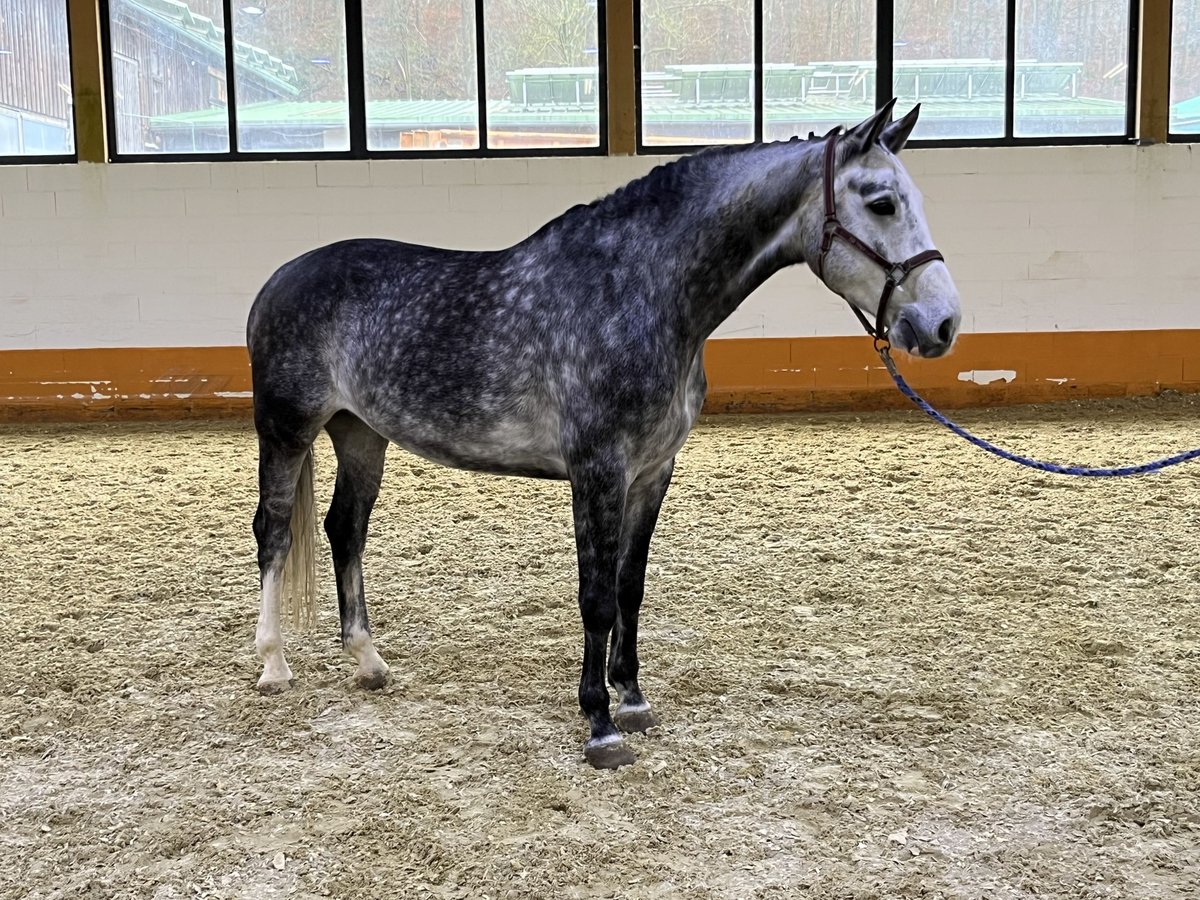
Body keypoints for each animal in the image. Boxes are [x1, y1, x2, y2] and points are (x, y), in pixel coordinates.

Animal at [246, 100, 961, 769]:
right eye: (881, 201)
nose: (942, 324)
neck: (641, 292)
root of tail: (276, 280)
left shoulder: (651, 472)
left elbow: (629, 587)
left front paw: (634, 699)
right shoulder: (597, 470)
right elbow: (595, 595)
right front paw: (600, 723)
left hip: (361, 435)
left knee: (345, 530)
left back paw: (368, 661)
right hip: (287, 430)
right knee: (275, 531)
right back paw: (274, 664)